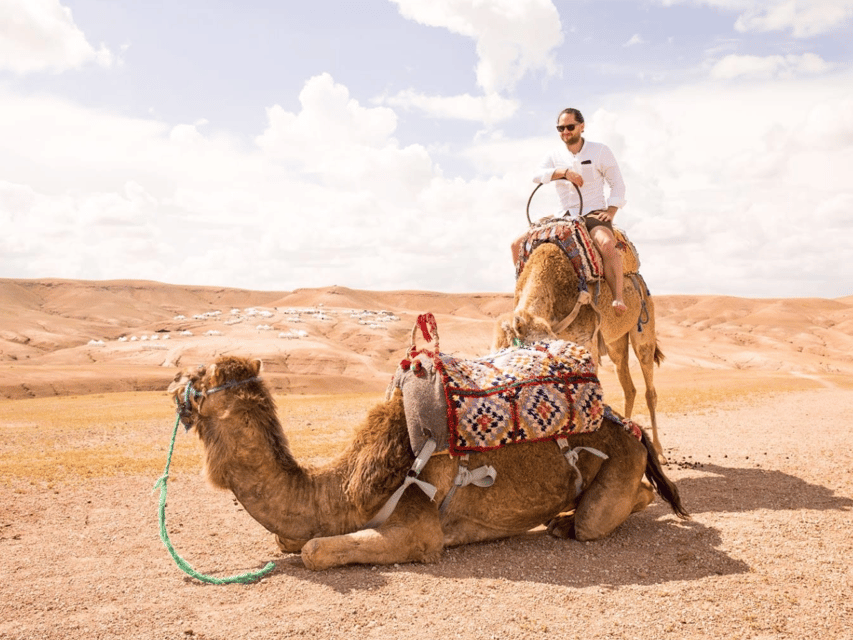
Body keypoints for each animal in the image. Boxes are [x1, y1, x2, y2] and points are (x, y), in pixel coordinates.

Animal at [168, 355, 687, 570]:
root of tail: (628, 426)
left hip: (618, 468)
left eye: (198, 374)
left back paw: (566, 522)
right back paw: (560, 518)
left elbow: (315, 550)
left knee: (599, 517)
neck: (341, 490)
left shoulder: (418, 530)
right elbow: (289, 538)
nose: (172, 381)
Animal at [493, 239, 667, 462]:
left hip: (644, 326)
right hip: (616, 343)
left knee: (649, 388)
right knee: (628, 386)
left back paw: (659, 452)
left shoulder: (587, 340)